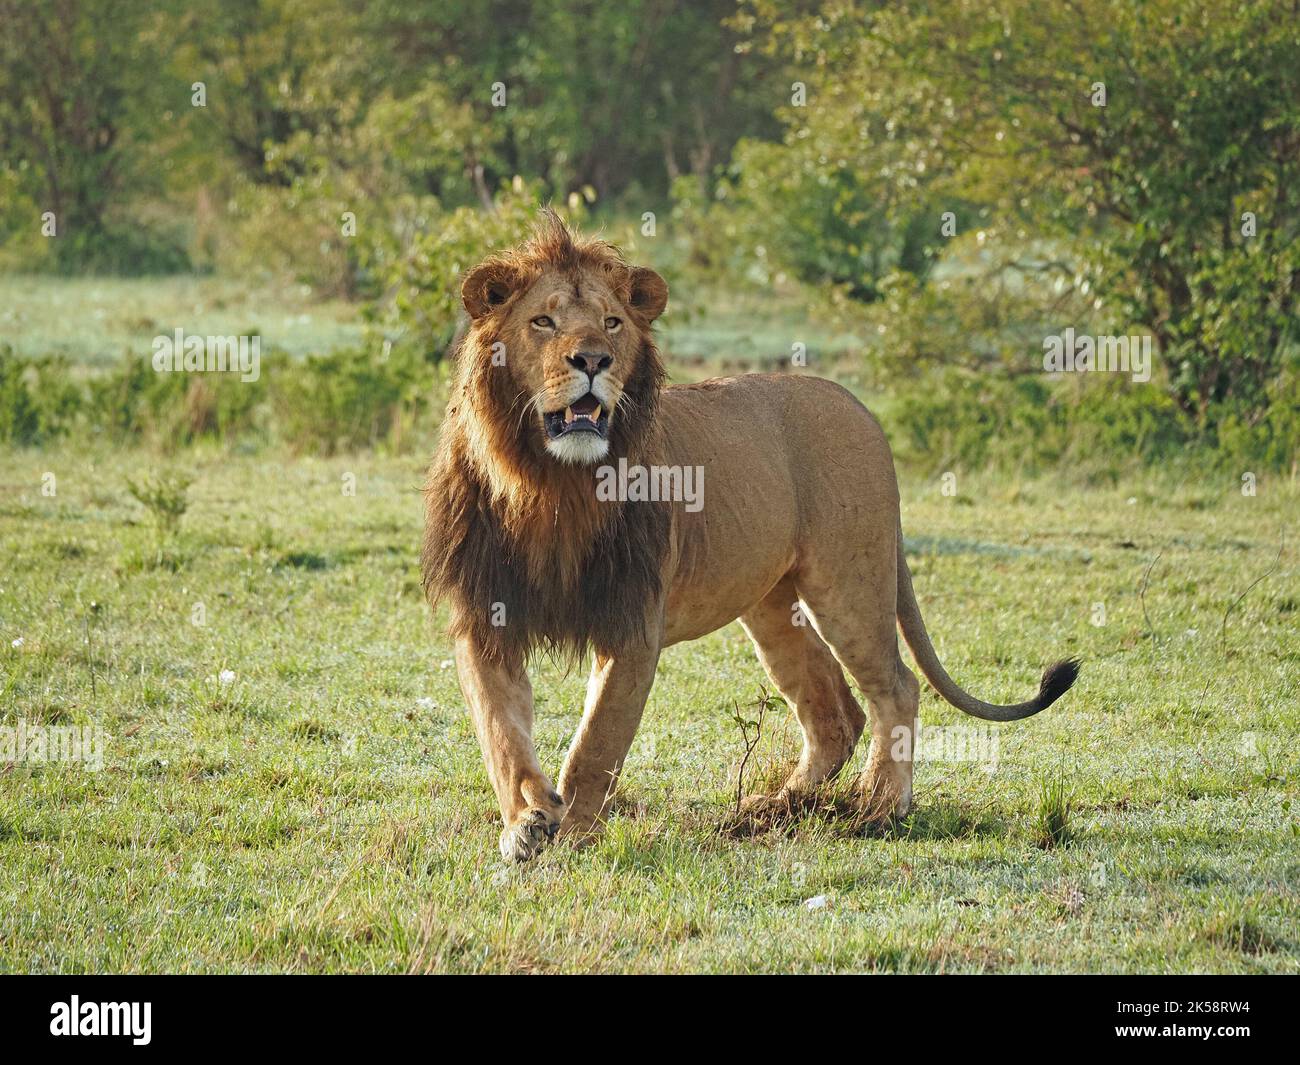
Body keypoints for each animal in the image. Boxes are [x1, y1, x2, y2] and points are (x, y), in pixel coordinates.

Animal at [423, 210, 1079, 861]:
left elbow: (596, 745)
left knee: (896, 685)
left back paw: (878, 808)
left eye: (612, 323)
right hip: (771, 605)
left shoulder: (633, 623)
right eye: (543, 321)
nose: (593, 361)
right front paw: (528, 822)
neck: (550, 484)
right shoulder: (484, 616)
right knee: (833, 713)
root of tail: (860, 407)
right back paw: (773, 809)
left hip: (849, 583)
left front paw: (577, 837)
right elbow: (502, 733)